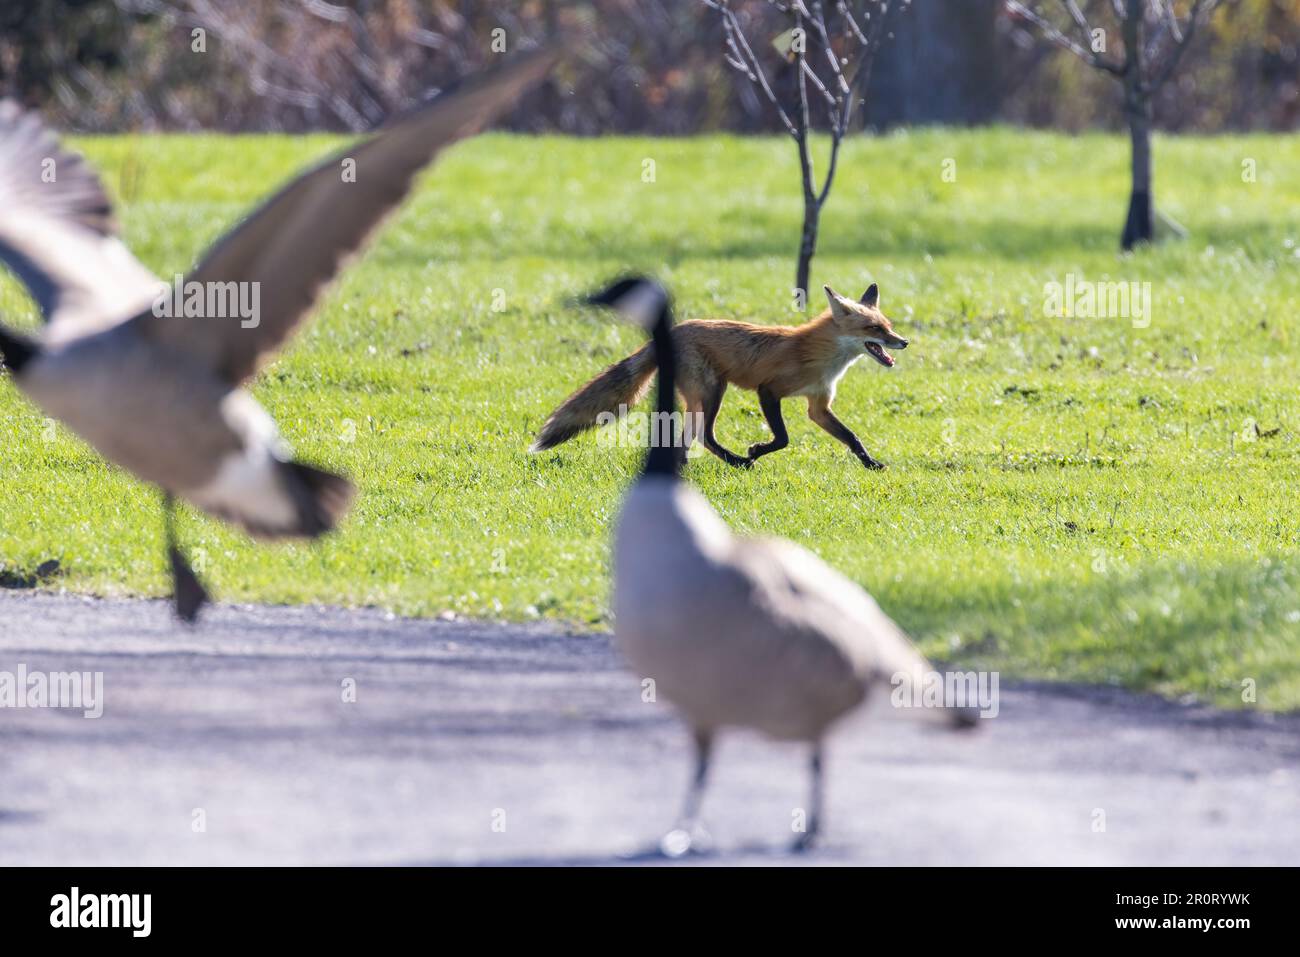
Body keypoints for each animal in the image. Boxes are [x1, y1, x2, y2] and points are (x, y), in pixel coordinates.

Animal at [531, 283, 909, 469]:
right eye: (875, 329)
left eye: (888, 326)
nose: (903, 342)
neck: (820, 356)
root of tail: (672, 331)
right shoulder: (769, 390)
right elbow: (783, 438)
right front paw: (756, 450)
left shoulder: (818, 405)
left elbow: (852, 438)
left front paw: (871, 464)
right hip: (713, 391)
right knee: (703, 436)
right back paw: (738, 463)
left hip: (703, 396)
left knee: (688, 439)